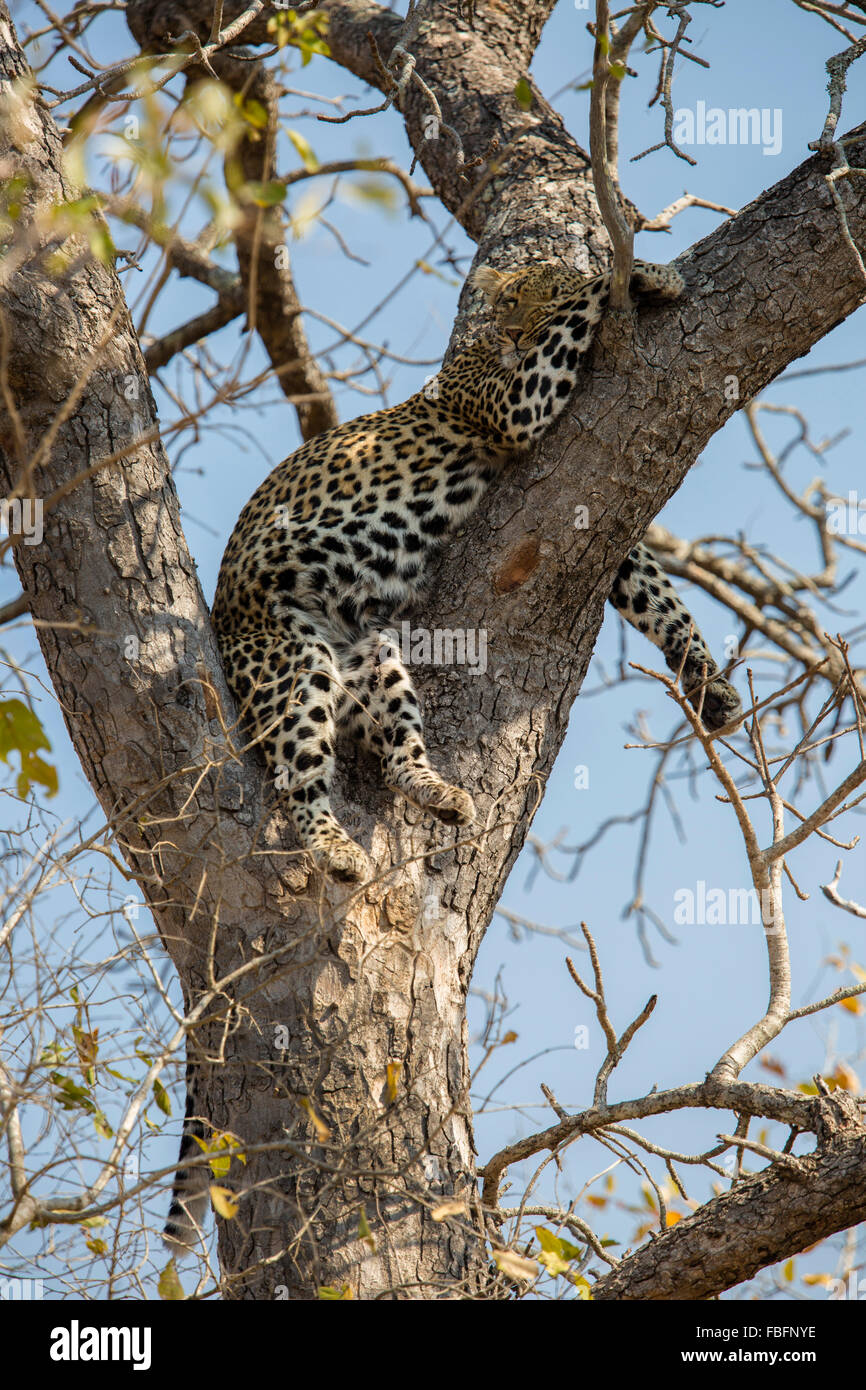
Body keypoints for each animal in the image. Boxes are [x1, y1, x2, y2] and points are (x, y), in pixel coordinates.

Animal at [163, 256, 742, 1251]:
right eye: (535, 277)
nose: (523, 290)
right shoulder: (511, 409)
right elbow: (570, 323)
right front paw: (634, 273)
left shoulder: (611, 543)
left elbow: (663, 600)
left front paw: (709, 686)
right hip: (296, 660)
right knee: (297, 779)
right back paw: (336, 846)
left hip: (374, 651)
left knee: (394, 741)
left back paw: (440, 793)